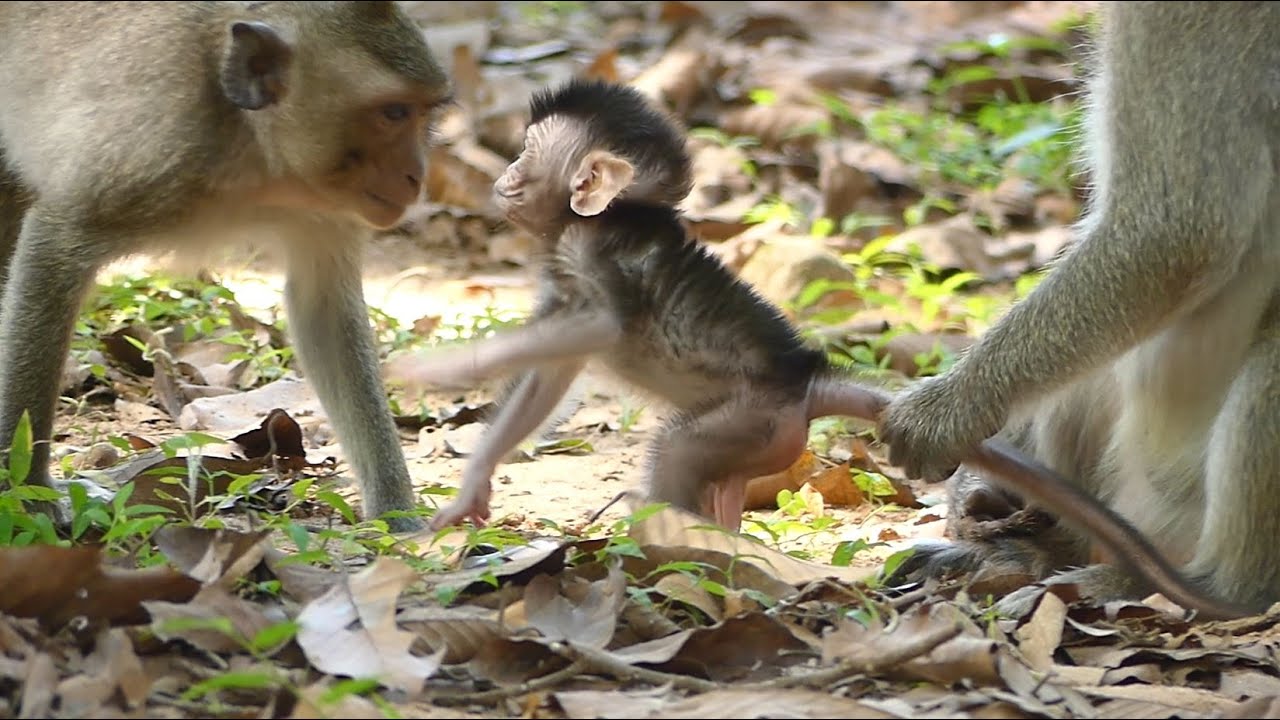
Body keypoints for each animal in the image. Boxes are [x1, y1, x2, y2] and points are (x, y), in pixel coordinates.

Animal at [0, 2, 454, 532]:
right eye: (393, 113)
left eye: (424, 113)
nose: (416, 175)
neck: (254, 150)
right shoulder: (153, 157)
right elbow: (56, 247)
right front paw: (25, 495)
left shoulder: (327, 208)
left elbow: (324, 308)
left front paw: (398, 517)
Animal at [383, 78, 1258, 620]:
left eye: (527, 157)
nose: (500, 179)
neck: (606, 220)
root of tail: (803, 385)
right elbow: (550, 373)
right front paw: (472, 482)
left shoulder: (596, 254)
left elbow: (595, 331)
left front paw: (445, 364)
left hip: (753, 421)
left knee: (679, 455)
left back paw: (687, 566)